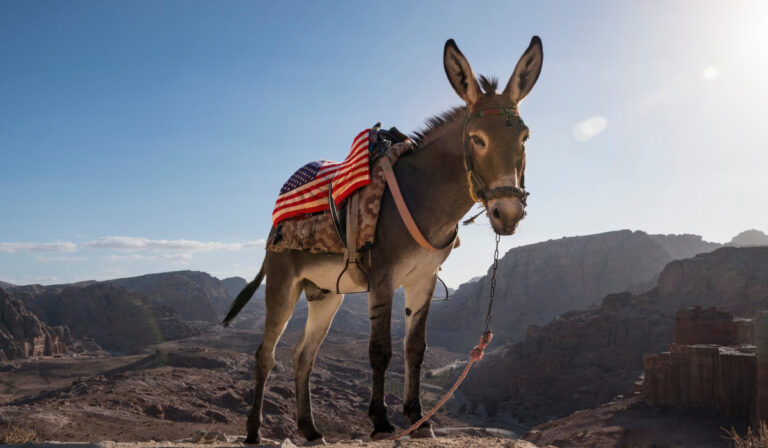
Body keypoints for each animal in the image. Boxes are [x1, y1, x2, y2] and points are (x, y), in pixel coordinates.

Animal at [223, 36, 543, 443]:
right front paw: (380, 421)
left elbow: (415, 348)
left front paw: (419, 419)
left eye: (524, 137)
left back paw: (310, 429)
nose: (508, 213)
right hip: (283, 282)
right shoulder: (382, 278)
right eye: (477, 139)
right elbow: (380, 350)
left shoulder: (422, 280)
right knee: (266, 354)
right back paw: (253, 431)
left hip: (325, 294)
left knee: (302, 356)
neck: (423, 195)